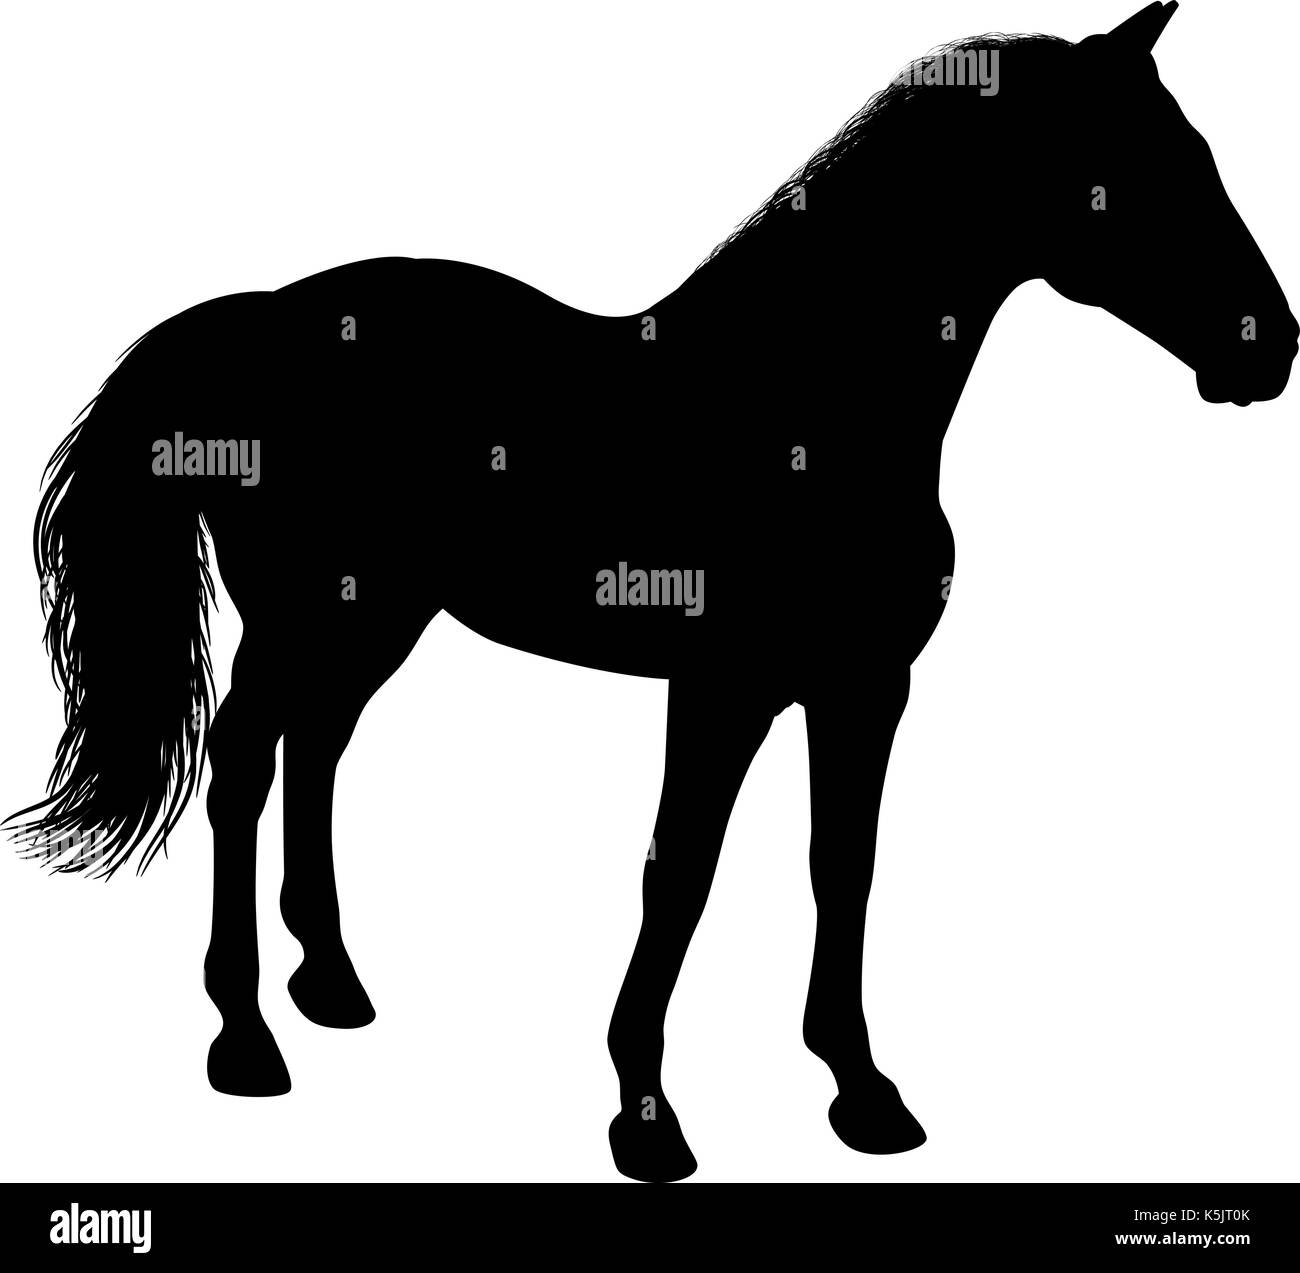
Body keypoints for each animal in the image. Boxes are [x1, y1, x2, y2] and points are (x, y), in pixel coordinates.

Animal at [8, 3, 1296, 1182]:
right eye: (1132, 177)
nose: (1267, 348)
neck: (800, 405)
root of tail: (248, 320)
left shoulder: (863, 690)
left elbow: (843, 865)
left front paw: (862, 1091)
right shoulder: (719, 688)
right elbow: (679, 875)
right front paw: (645, 1115)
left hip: (372, 617)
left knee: (314, 752)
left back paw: (329, 983)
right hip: (304, 616)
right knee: (243, 765)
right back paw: (244, 1038)